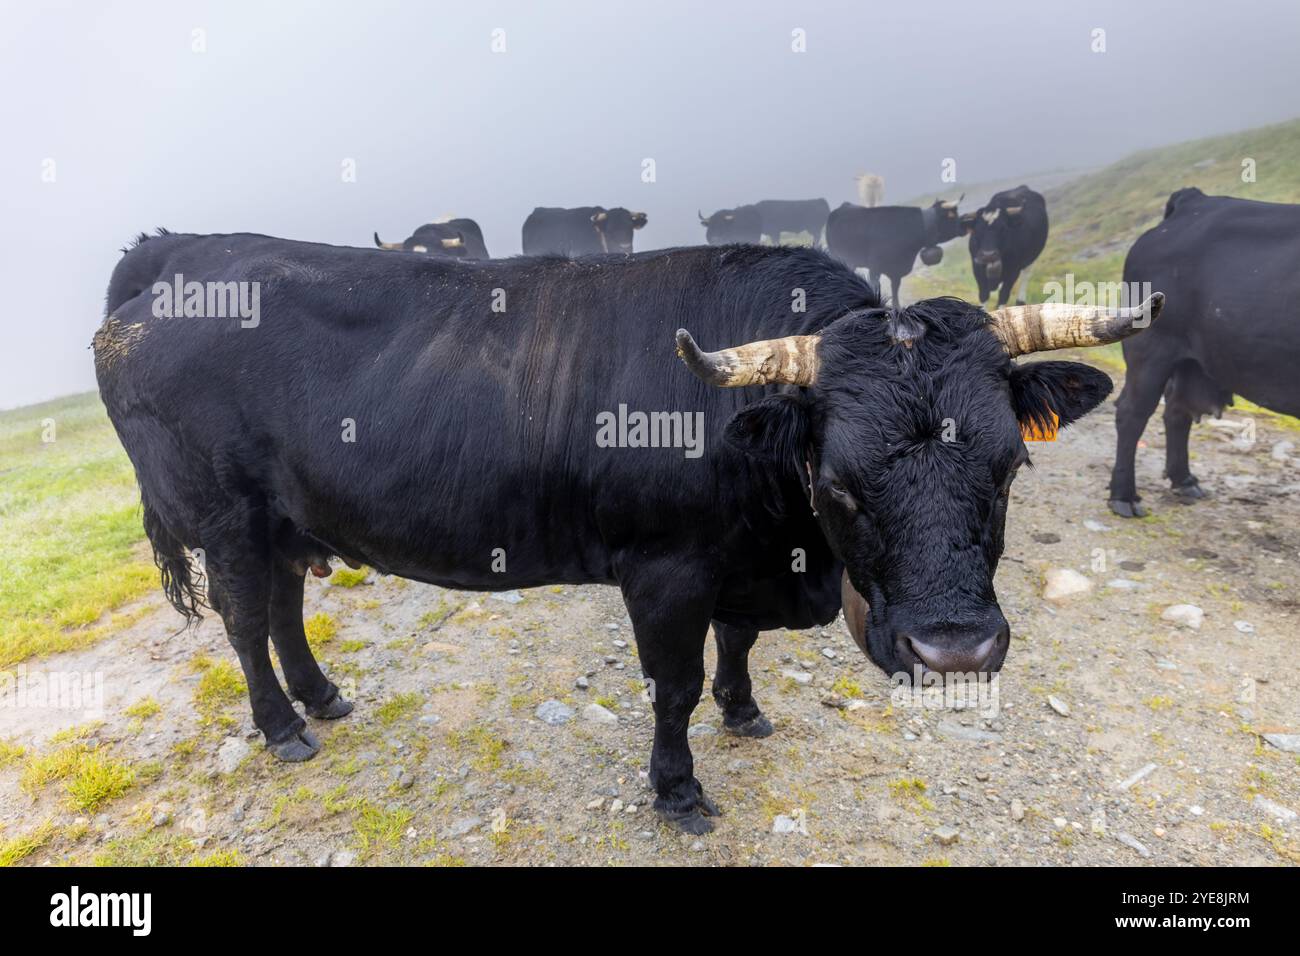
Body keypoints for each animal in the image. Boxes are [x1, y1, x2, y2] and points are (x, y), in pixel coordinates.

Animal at [95, 231, 1160, 834]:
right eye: (841, 483)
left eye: (1010, 467)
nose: (956, 652)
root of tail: (175, 268)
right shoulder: (665, 570)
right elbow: (674, 686)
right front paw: (679, 792)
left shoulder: (738, 564)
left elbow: (738, 644)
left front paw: (745, 710)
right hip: (226, 521)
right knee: (244, 622)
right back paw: (282, 727)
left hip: (283, 521)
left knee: (281, 609)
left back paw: (322, 698)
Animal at [826, 198, 966, 306]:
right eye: (952, 215)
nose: (963, 227)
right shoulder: (875, 268)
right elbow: (875, 286)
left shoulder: (896, 272)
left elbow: (895, 292)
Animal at [1108, 187, 1300, 518]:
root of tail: (1194, 201)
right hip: (1151, 349)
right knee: (1132, 413)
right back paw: (1124, 496)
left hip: (1192, 362)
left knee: (1176, 411)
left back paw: (1183, 480)